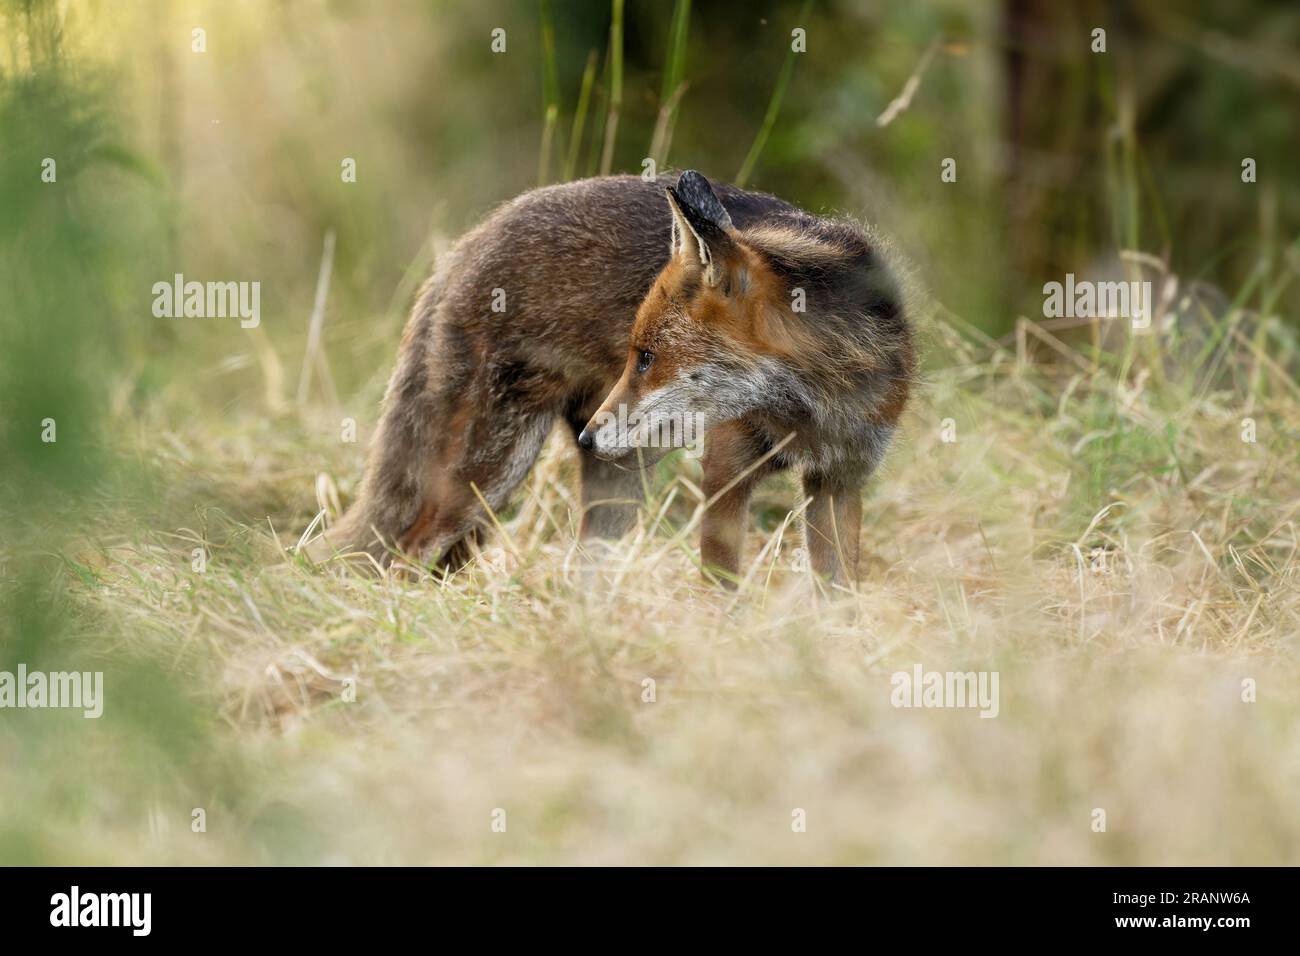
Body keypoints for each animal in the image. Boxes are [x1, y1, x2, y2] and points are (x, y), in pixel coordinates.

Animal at [304, 170, 914, 586]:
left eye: (645, 358)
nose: (588, 436)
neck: (816, 400)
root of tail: (461, 248)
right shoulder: (726, 471)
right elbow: (721, 586)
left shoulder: (840, 482)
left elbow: (838, 591)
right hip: (490, 475)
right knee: (408, 550)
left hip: (616, 483)